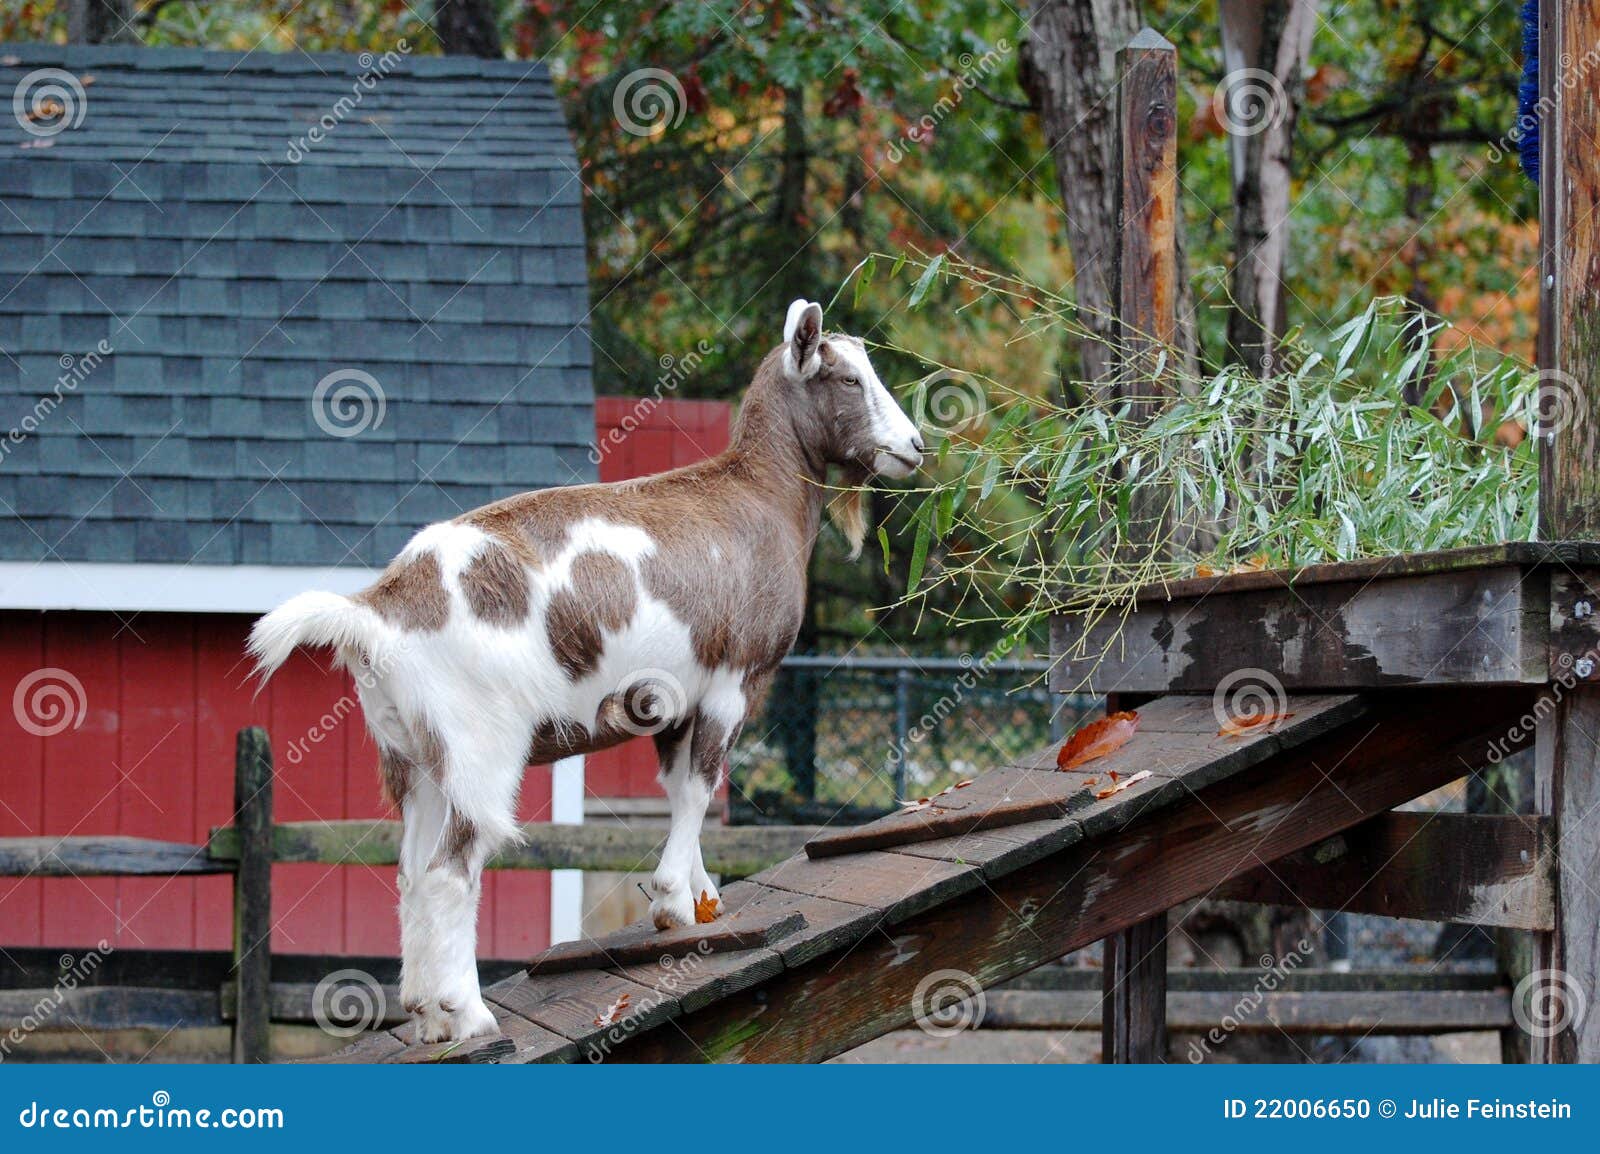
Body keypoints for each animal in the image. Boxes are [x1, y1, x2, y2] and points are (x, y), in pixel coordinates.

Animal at [247, 299, 924, 1043]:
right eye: (848, 378)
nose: (915, 446)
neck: (757, 494)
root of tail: (379, 608)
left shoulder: (672, 701)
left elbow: (678, 786)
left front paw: (700, 897)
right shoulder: (731, 678)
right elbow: (700, 785)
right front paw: (673, 903)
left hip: (412, 753)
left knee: (411, 870)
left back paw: (428, 1015)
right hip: (479, 744)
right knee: (453, 870)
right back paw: (472, 1015)